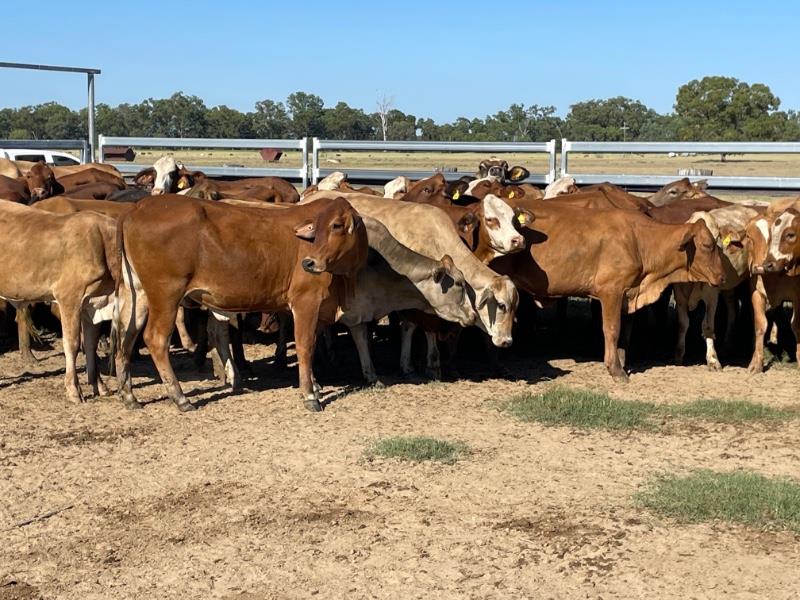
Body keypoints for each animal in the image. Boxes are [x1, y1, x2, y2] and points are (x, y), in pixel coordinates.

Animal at [0, 202, 118, 401]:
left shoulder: (92, 304)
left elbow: (90, 344)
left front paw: (99, 385)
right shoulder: (69, 297)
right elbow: (72, 343)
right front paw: (73, 389)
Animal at [115, 195, 368, 412]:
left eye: (336, 225)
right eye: (318, 227)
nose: (309, 263)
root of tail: (137, 207)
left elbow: (312, 343)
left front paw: (315, 384)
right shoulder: (306, 301)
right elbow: (305, 346)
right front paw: (309, 395)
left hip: (136, 293)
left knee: (126, 336)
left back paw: (129, 396)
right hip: (166, 294)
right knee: (155, 338)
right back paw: (180, 398)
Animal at [494, 199, 724, 381]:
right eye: (707, 245)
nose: (722, 277)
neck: (639, 240)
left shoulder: (628, 294)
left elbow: (624, 331)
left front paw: (621, 361)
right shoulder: (610, 292)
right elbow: (612, 329)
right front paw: (616, 370)